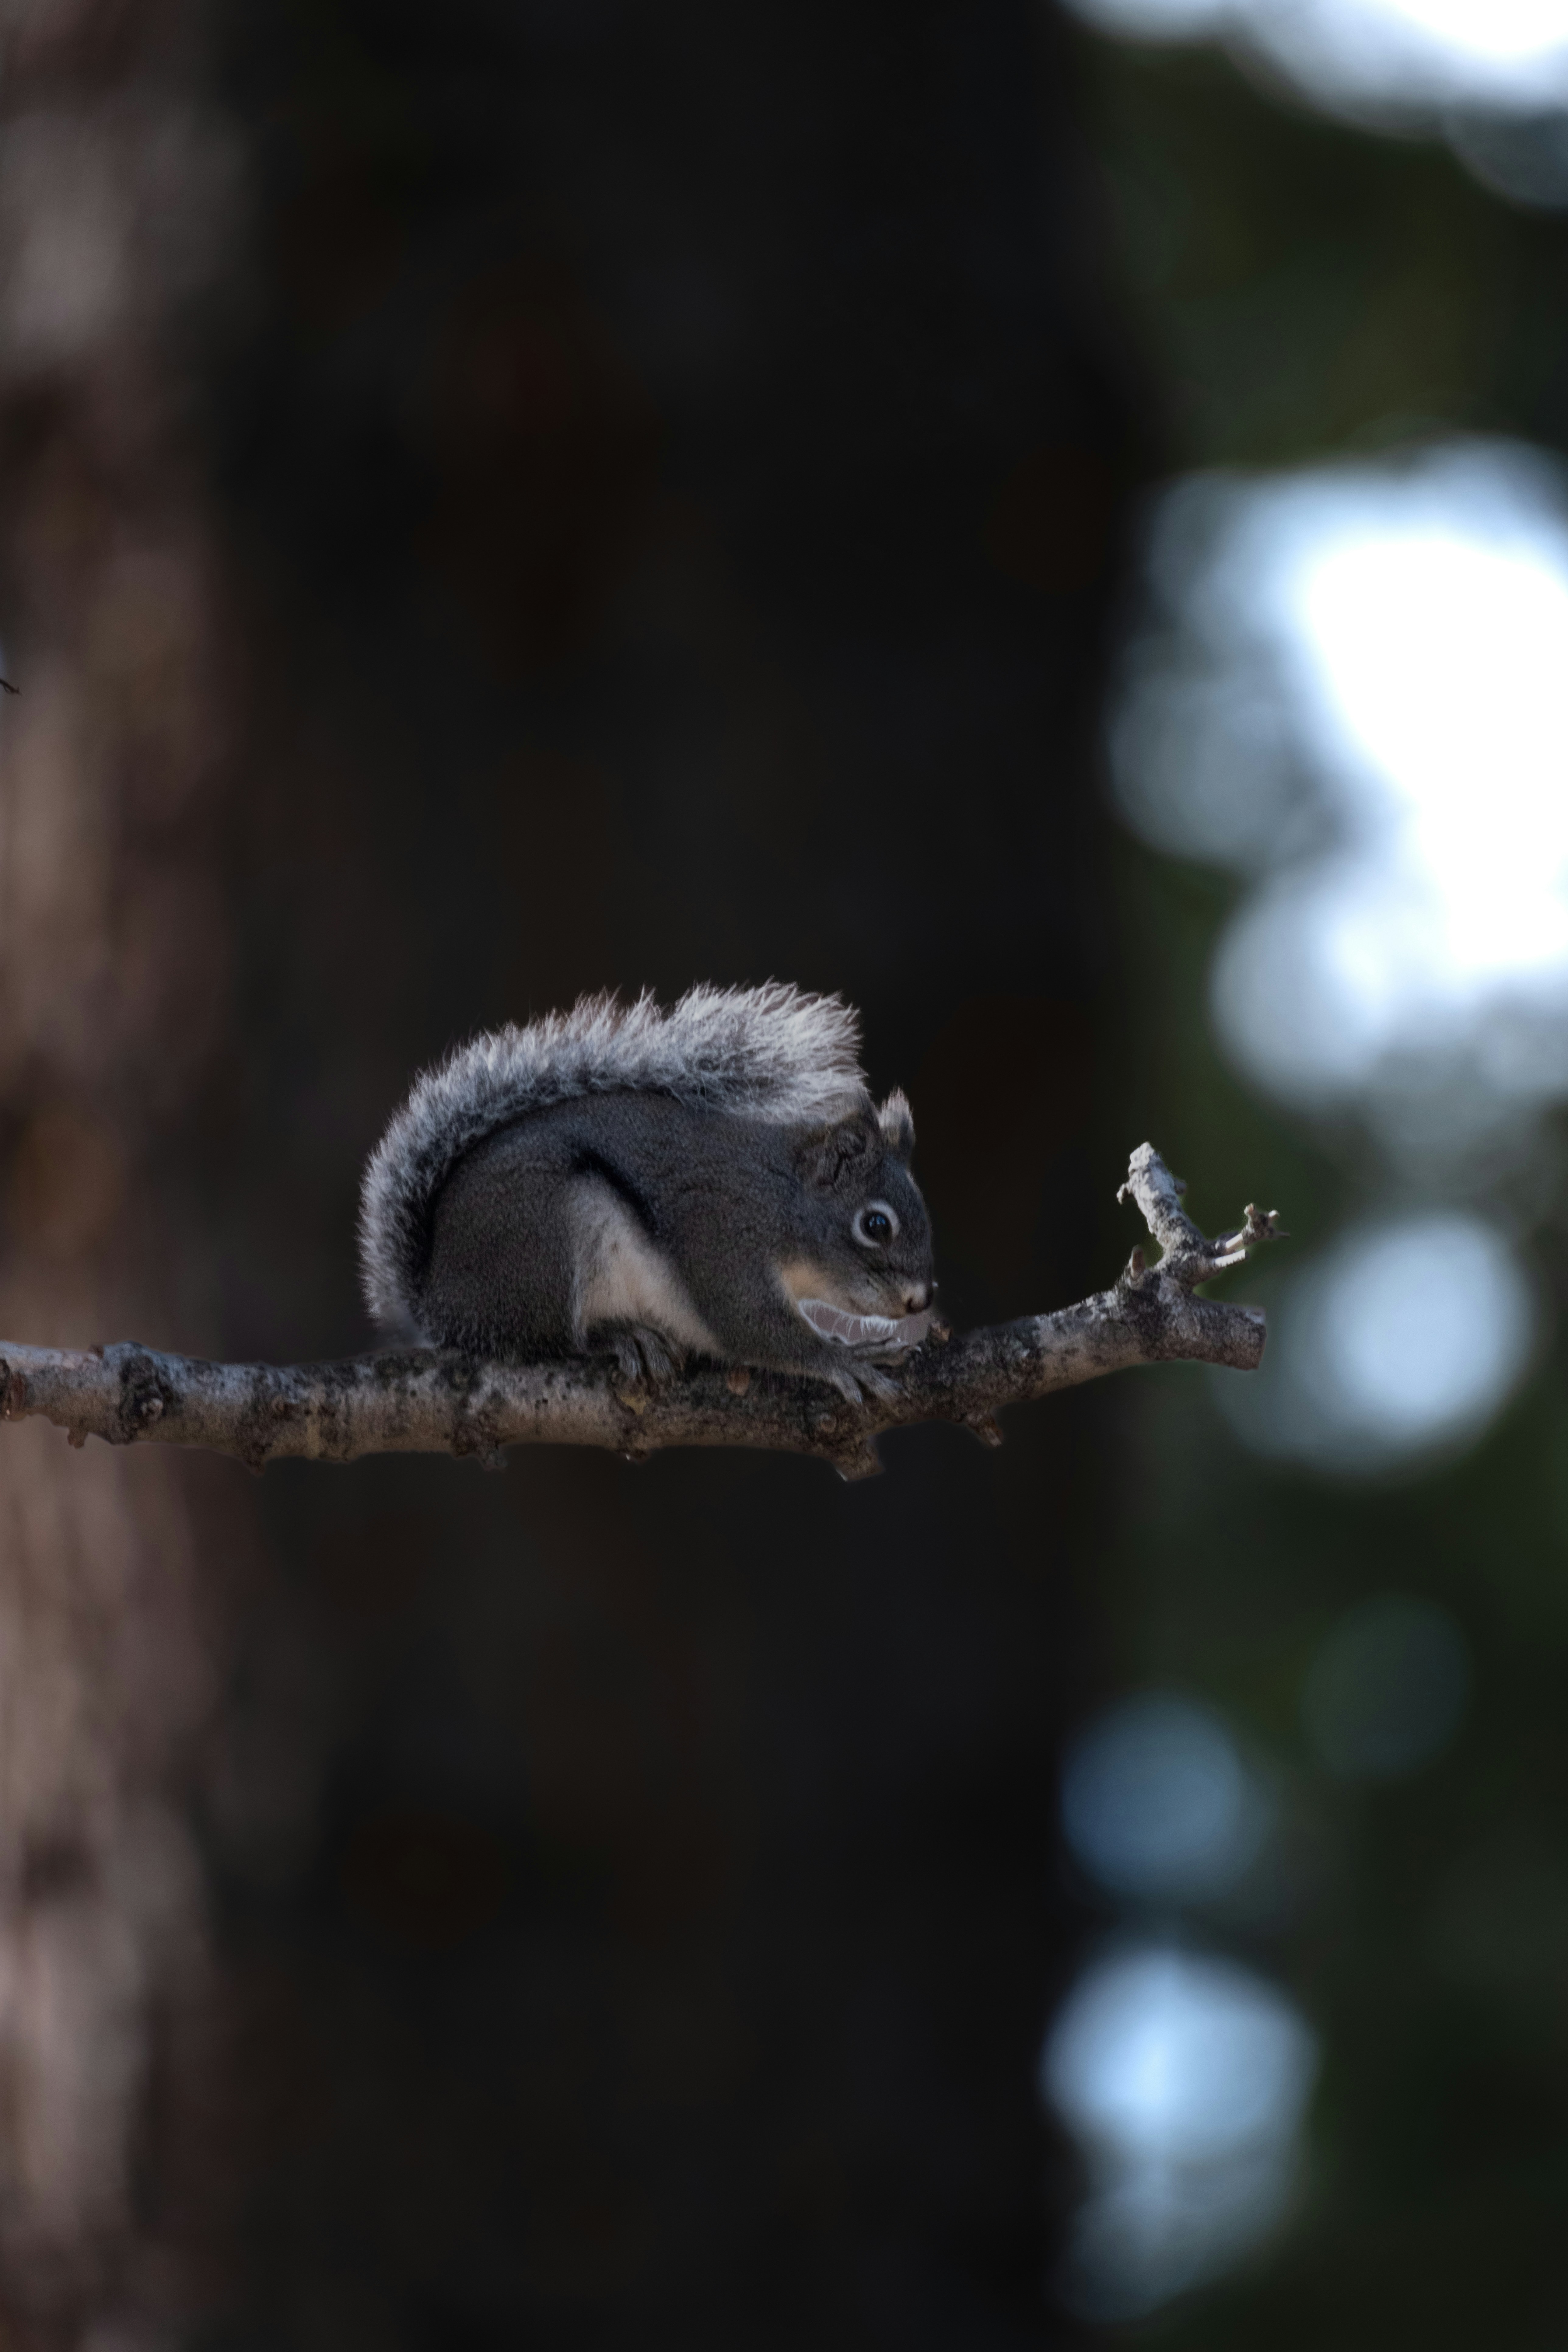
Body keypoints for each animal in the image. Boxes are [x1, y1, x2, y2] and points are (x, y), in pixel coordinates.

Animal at [359, 984, 937, 1401]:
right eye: (876, 1225)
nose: (921, 1300)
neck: (778, 1197)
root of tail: (441, 1300)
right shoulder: (721, 1236)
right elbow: (750, 1325)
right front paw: (843, 1359)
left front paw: (845, 1343)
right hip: (545, 1240)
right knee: (551, 1343)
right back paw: (618, 1336)